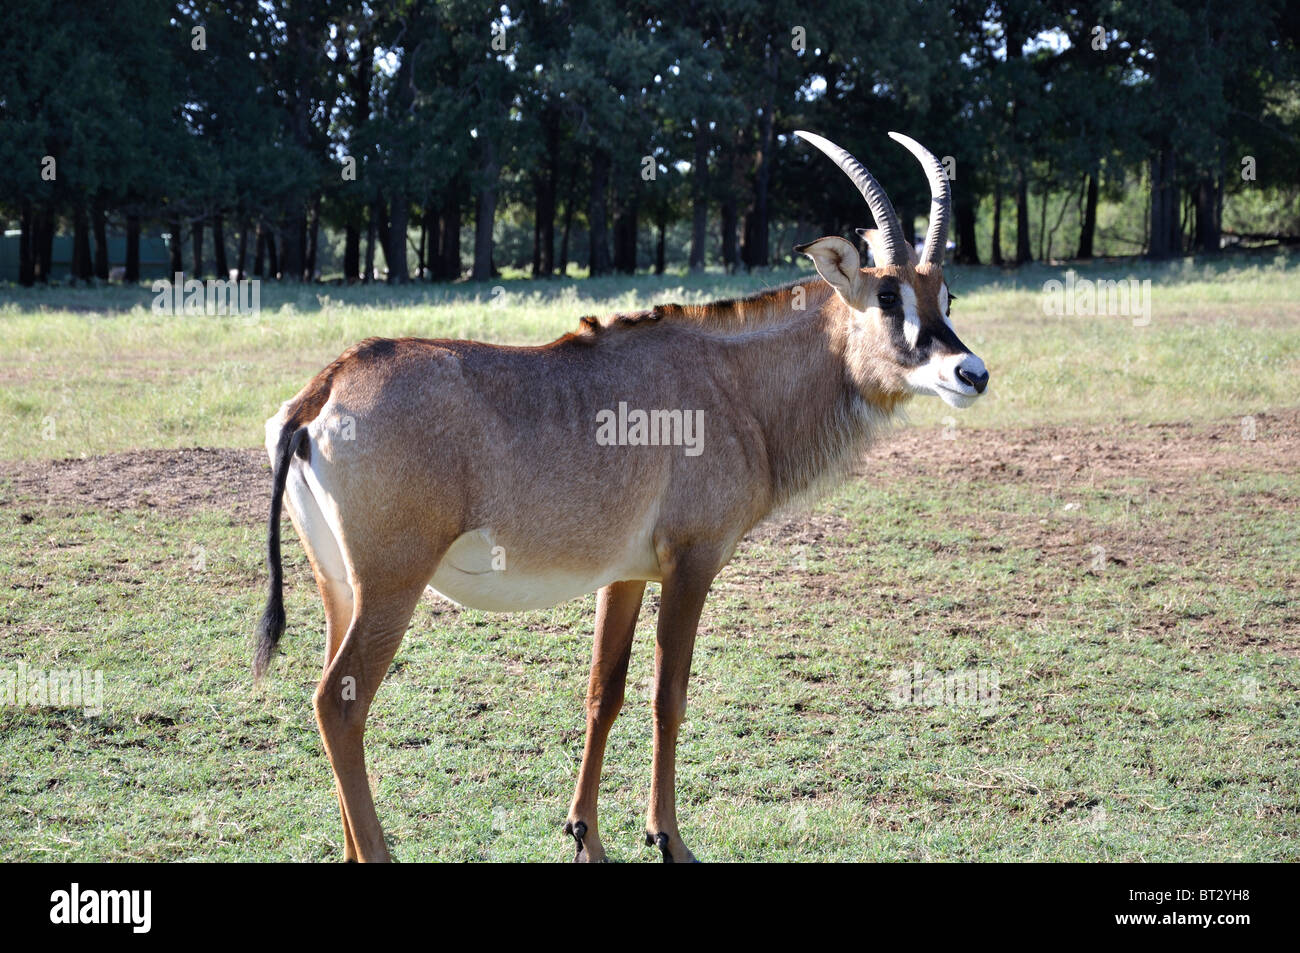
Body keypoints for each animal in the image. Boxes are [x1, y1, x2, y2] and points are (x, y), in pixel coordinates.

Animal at [255, 131, 989, 862]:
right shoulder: (691, 561)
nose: (971, 373)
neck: (730, 383)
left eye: (946, 295)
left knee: (337, 695)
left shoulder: (626, 573)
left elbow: (603, 691)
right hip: (393, 582)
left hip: (340, 586)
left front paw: (586, 834)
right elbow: (669, 694)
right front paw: (668, 837)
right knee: (339, 703)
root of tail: (324, 389)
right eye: (888, 296)